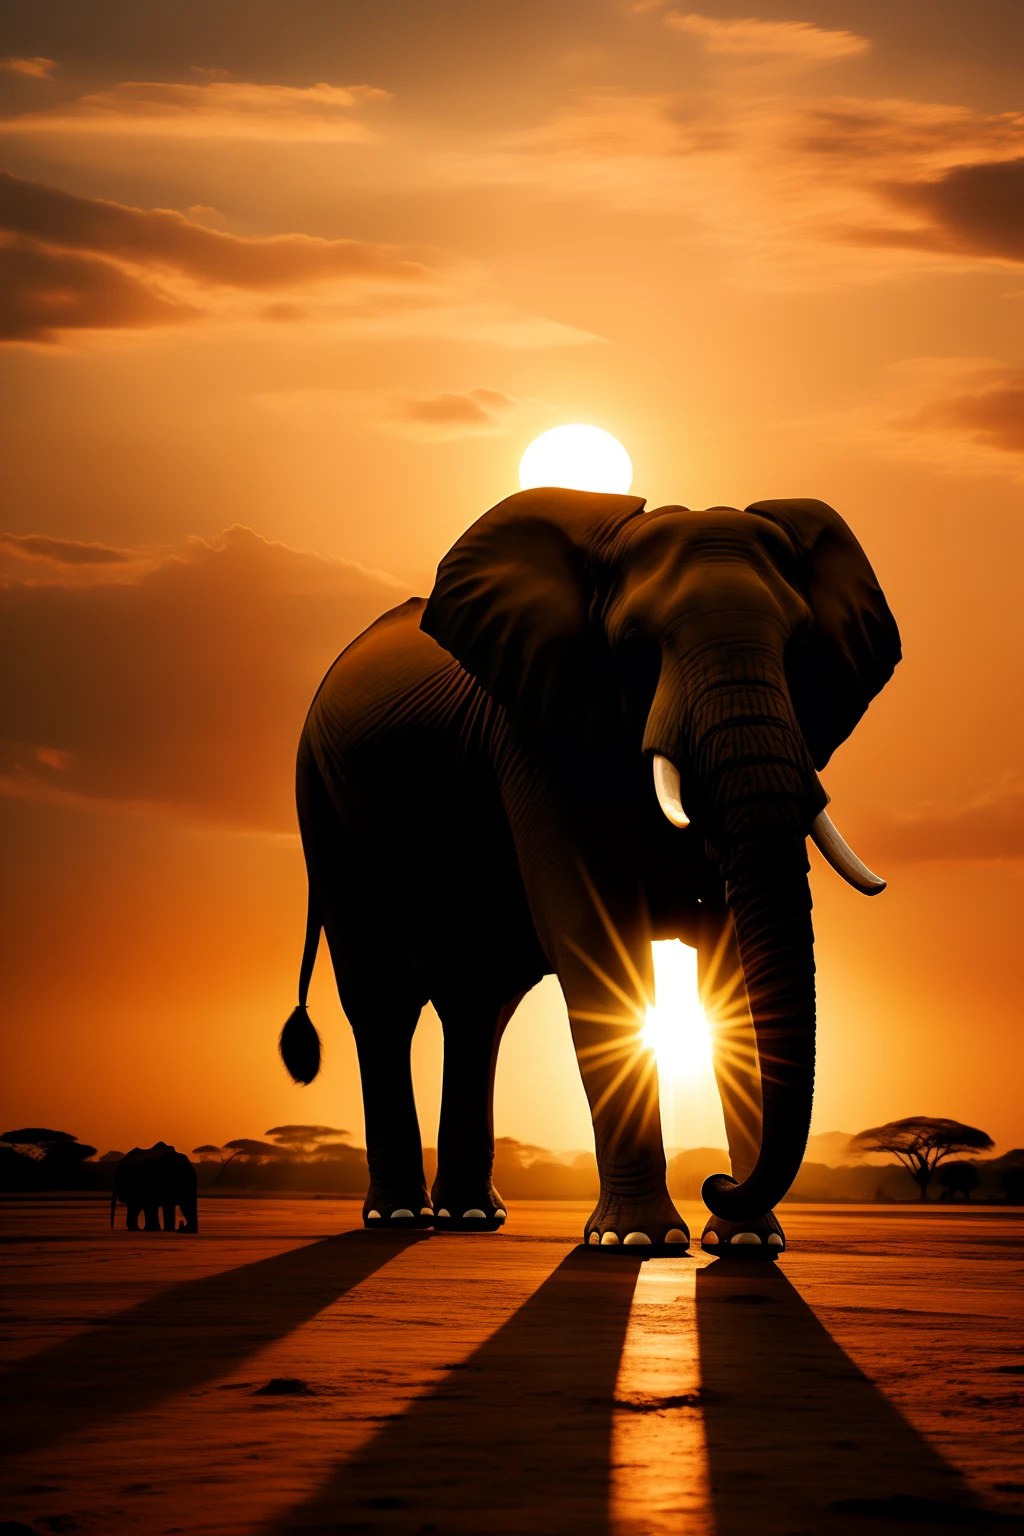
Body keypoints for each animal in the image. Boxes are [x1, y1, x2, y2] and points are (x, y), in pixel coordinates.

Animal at [281, 489, 899, 1257]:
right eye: (635, 649)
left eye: (801, 646)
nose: (716, 1182)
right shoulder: (532, 737)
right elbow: (592, 934)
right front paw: (639, 1242)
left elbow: (730, 960)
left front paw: (747, 1245)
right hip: (327, 814)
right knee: (382, 1001)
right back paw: (398, 1218)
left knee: (478, 1006)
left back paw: (470, 1218)